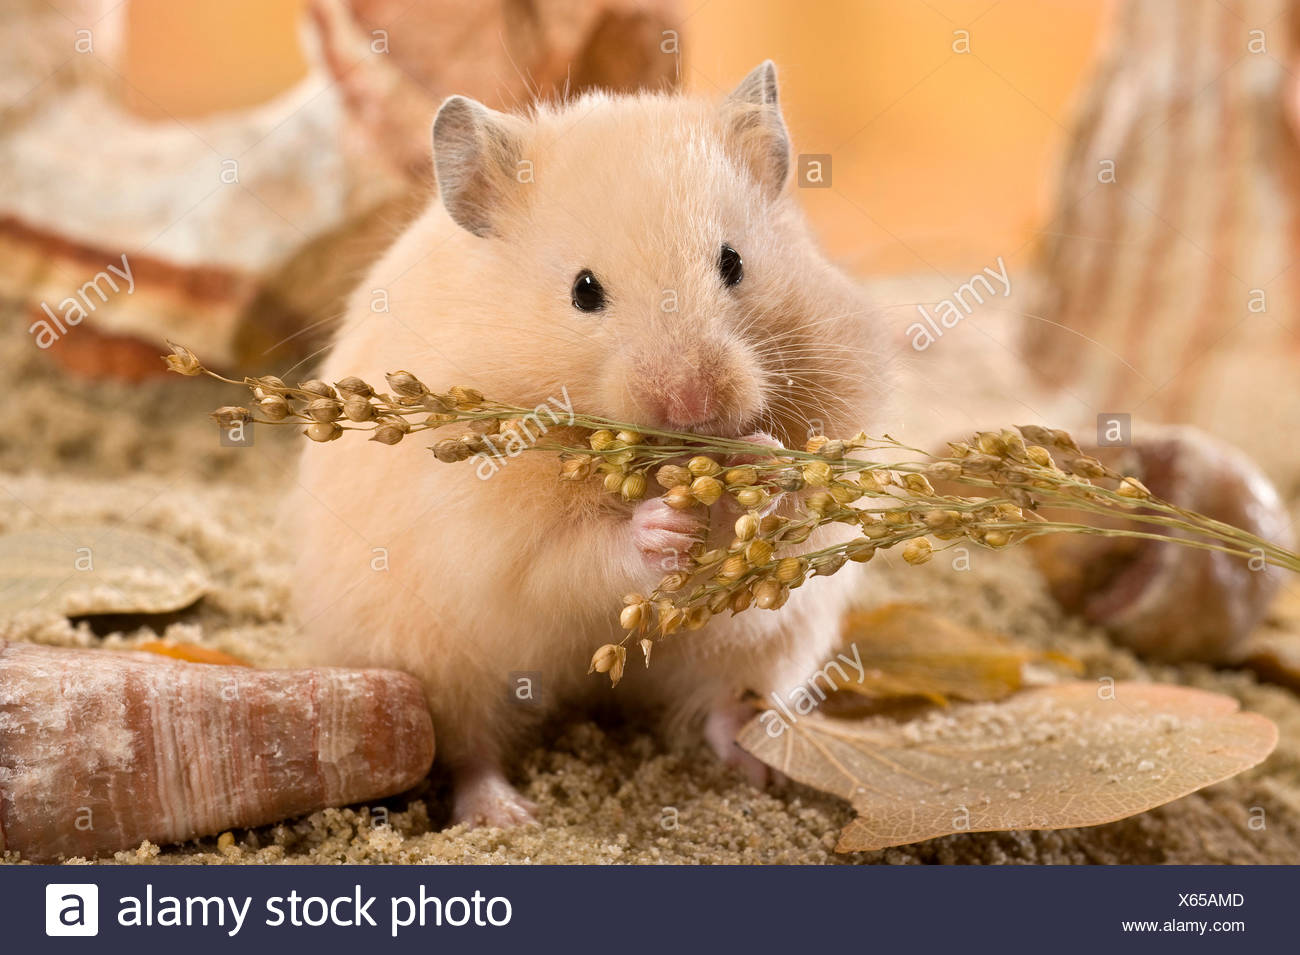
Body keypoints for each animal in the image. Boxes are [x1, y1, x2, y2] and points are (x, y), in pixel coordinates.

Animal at [287, 61, 896, 826]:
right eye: (583, 290)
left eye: (732, 262)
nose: (693, 402)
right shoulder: (497, 529)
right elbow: (577, 555)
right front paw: (664, 528)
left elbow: (816, 503)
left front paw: (765, 466)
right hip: (434, 660)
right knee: (468, 746)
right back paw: (506, 815)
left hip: (774, 644)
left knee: (724, 706)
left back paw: (759, 768)